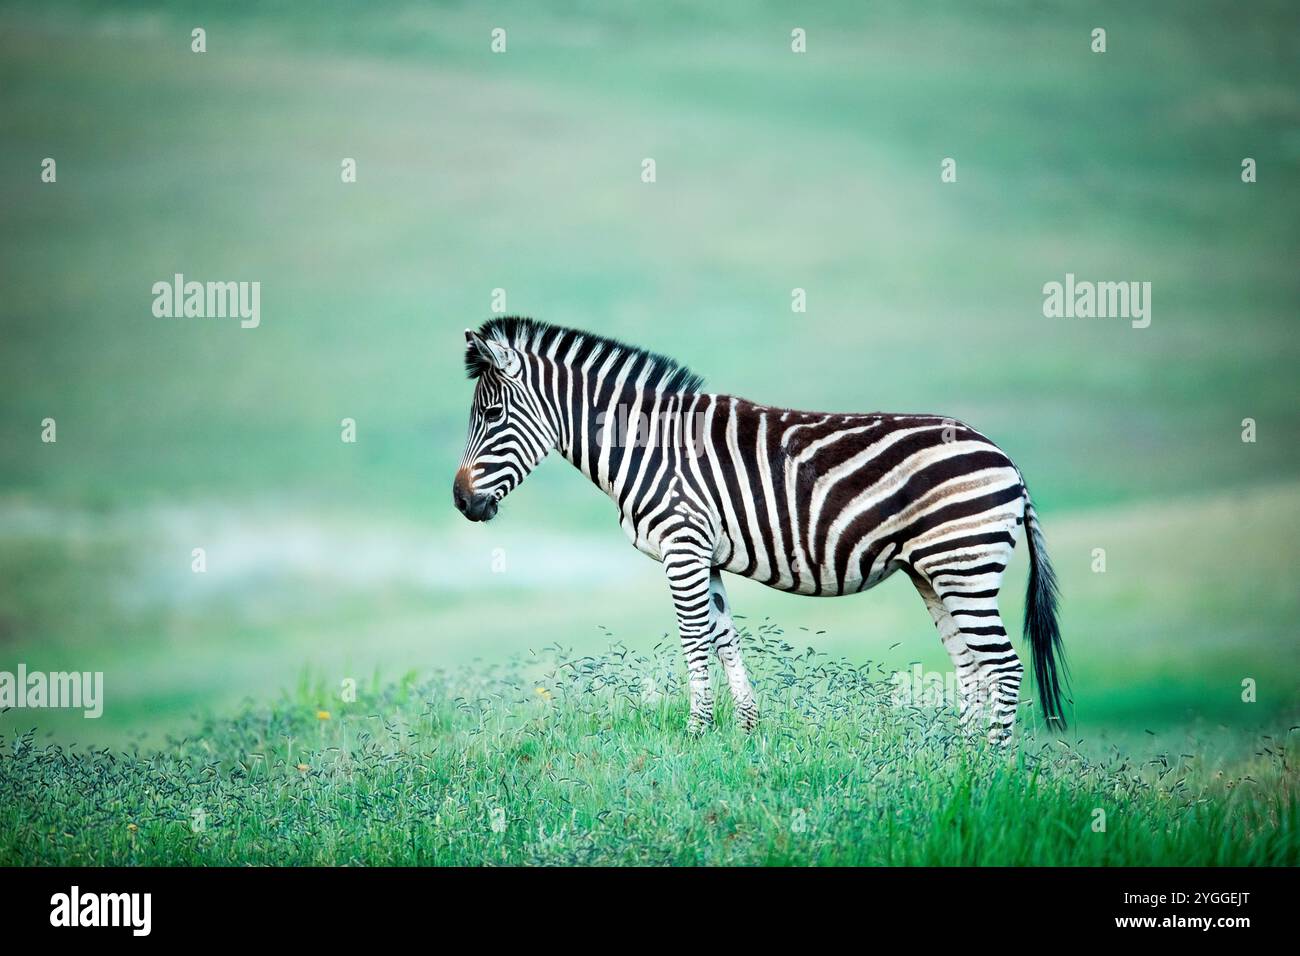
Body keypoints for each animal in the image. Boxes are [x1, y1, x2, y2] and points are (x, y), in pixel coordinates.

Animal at [453, 317, 1067, 743]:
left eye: (493, 416)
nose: (460, 502)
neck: (647, 448)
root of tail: (1006, 459)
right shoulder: (706, 554)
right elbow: (724, 635)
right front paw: (745, 731)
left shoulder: (682, 544)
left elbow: (694, 639)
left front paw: (696, 734)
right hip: (934, 571)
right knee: (970, 663)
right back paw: (958, 759)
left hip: (964, 564)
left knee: (1003, 665)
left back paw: (990, 768)